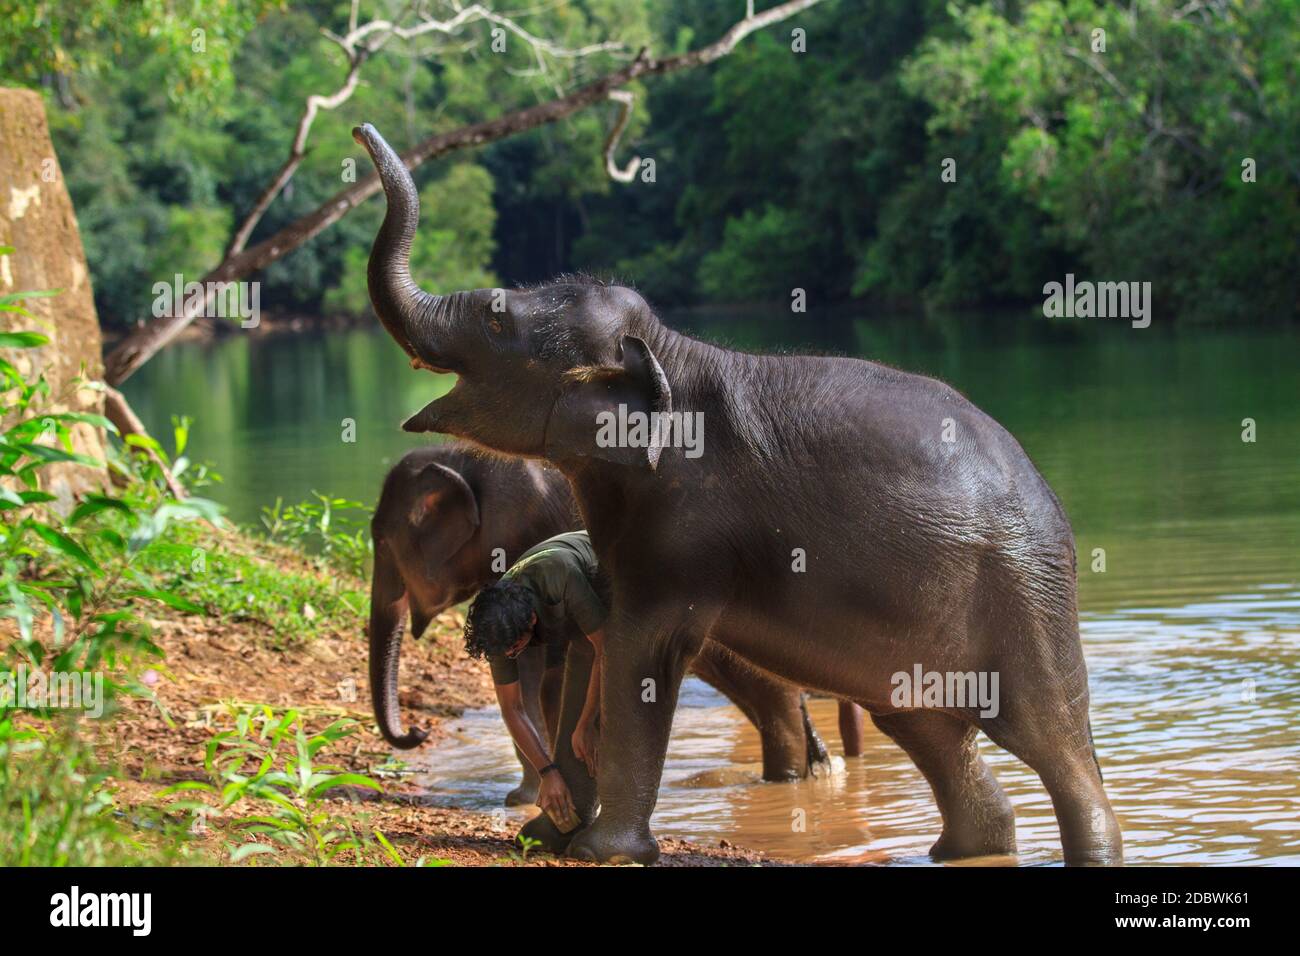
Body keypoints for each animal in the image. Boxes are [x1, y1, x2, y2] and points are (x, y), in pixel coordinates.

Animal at [367, 443, 830, 805]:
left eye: (383, 542)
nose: (417, 731)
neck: (459, 456)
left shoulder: (525, 529)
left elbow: (540, 679)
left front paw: (525, 798)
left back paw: (787, 780)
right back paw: (815, 767)